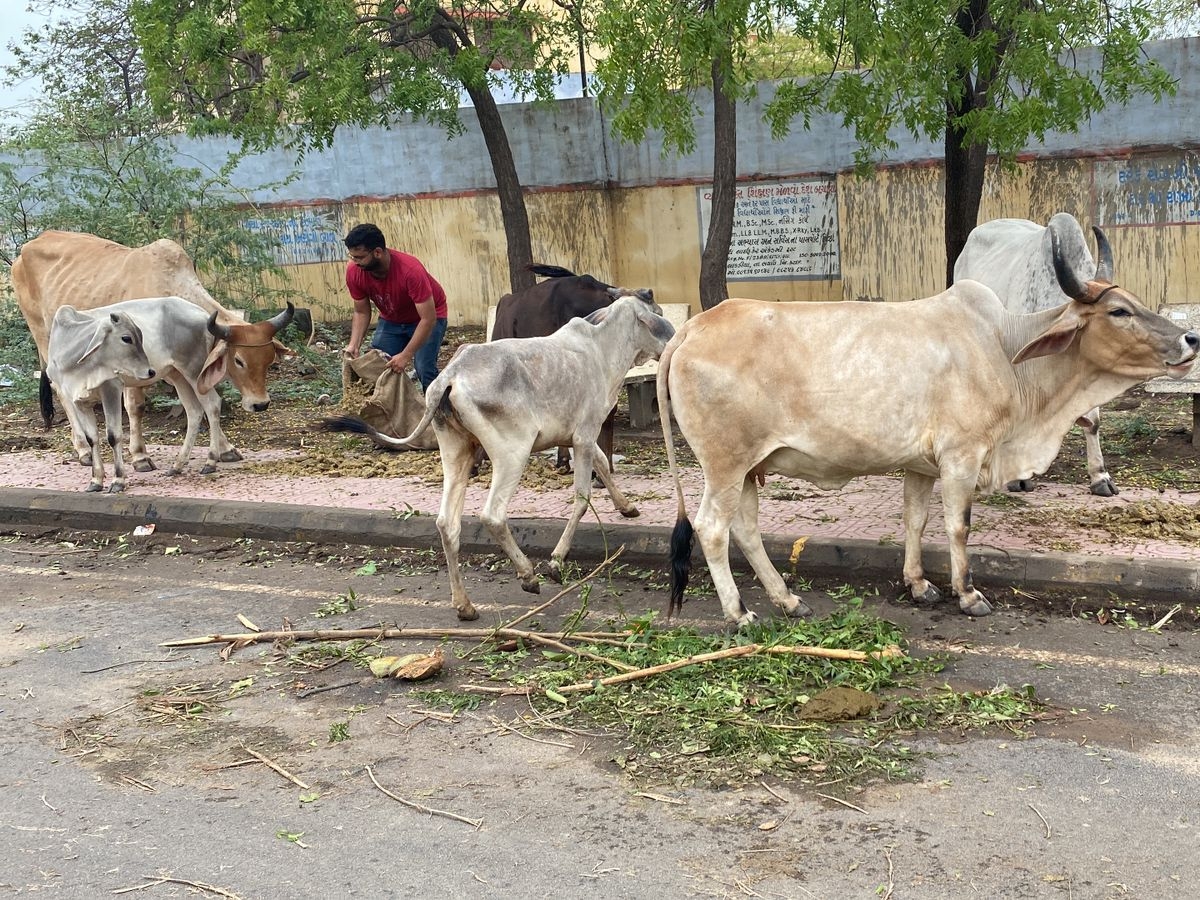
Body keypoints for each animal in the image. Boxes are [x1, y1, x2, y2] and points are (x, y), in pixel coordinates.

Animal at [11, 230, 294, 469]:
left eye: (269, 361)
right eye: (239, 361)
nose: (260, 404)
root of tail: (29, 246)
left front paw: (225, 449)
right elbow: (136, 406)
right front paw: (140, 456)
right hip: (44, 338)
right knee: (61, 390)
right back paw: (82, 449)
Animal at [42, 306, 157, 493]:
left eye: (141, 335)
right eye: (126, 338)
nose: (150, 371)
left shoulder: (111, 388)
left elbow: (113, 436)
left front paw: (118, 480)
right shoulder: (78, 400)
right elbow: (92, 438)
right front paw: (96, 480)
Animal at [321, 293, 676, 621]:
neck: (602, 348)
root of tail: (450, 376)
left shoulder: (579, 438)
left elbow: (603, 465)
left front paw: (627, 507)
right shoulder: (585, 434)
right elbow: (582, 497)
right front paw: (556, 561)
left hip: (457, 452)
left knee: (447, 523)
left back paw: (464, 605)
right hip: (511, 454)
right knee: (492, 515)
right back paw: (528, 575)